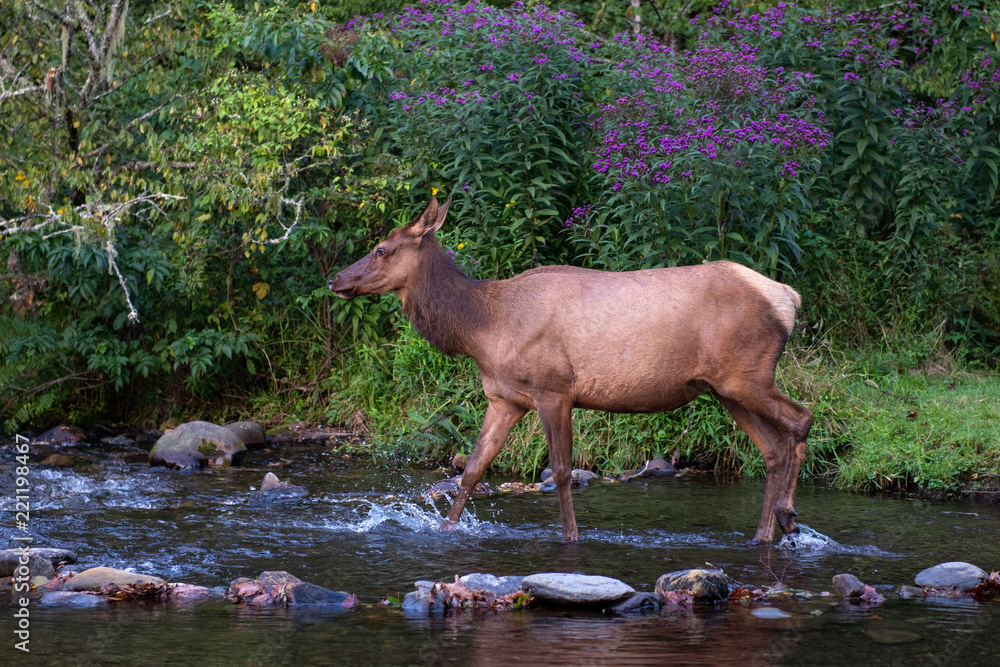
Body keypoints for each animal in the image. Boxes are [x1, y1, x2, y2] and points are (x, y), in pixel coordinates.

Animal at [330, 198, 814, 543]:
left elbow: (561, 470)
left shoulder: (554, 389)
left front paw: (571, 537)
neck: (483, 331)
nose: (336, 280)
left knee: (801, 418)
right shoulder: (505, 398)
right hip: (725, 389)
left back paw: (788, 515)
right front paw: (445, 529)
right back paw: (764, 533)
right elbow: (472, 468)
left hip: (746, 375)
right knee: (773, 448)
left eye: (380, 249)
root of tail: (788, 297)